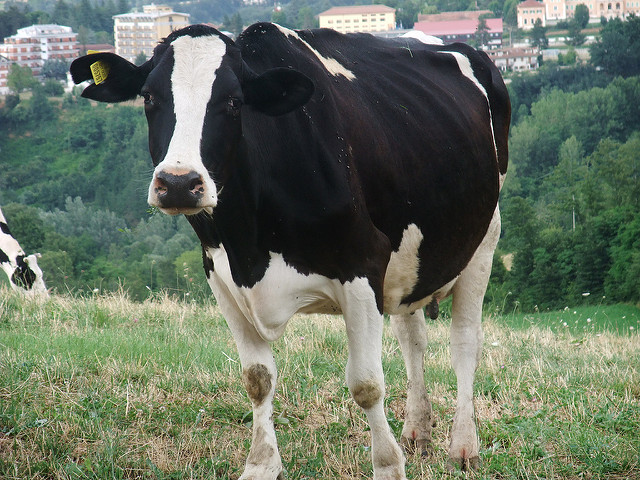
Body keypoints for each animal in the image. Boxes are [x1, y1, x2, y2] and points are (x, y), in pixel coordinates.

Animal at [70, 22, 510, 479]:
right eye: (150, 98)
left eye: (233, 102)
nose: (178, 183)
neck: (250, 243)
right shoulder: (220, 274)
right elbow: (257, 377)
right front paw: (261, 463)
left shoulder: (364, 264)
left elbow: (367, 384)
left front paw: (388, 466)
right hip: (409, 264)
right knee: (413, 339)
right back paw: (417, 431)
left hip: (484, 238)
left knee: (465, 343)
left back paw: (463, 445)